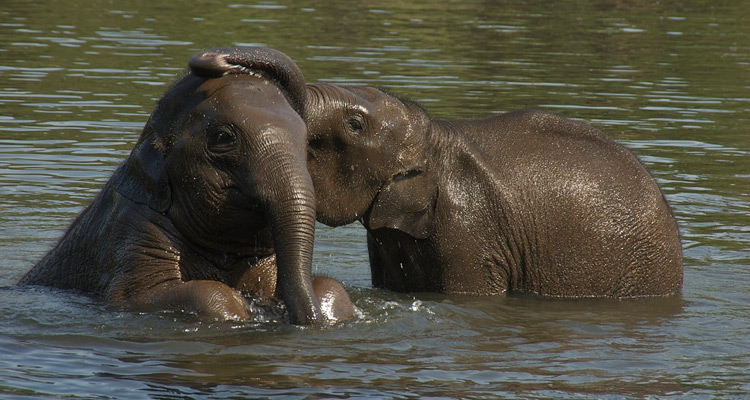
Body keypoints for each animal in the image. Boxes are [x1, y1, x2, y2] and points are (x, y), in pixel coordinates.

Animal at [19, 47, 354, 324]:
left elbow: (331, 288)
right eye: (223, 138)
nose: (218, 60)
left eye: (307, 142)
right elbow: (151, 295)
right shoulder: (131, 230)